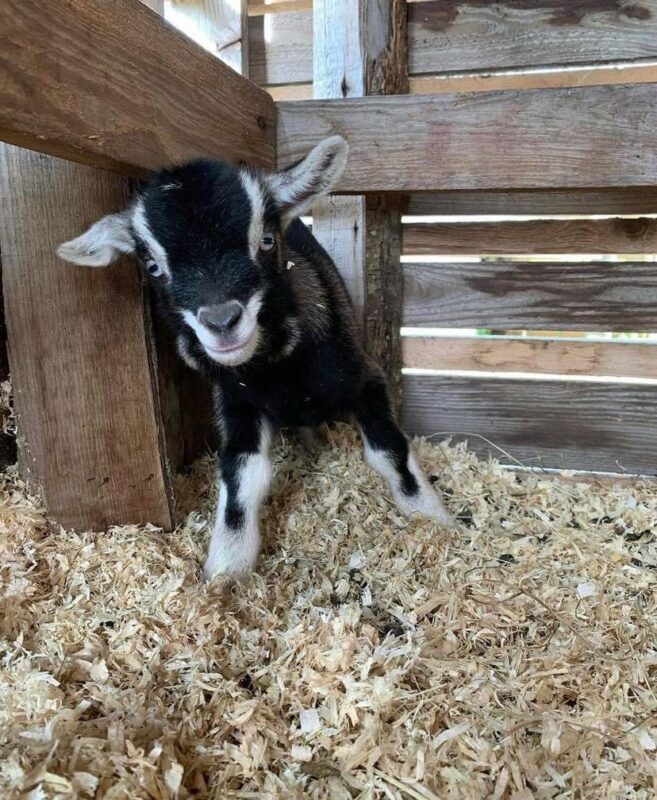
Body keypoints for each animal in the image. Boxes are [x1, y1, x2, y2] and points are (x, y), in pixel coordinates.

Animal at [58, 136, 454, 579]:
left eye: (266, 241)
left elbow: (388, 449)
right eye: (153, 265)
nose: (221, 321)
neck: (276, 371)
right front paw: (225, 572)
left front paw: (432, 518)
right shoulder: (237, 405)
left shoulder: (366, 378)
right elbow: (241, 476)